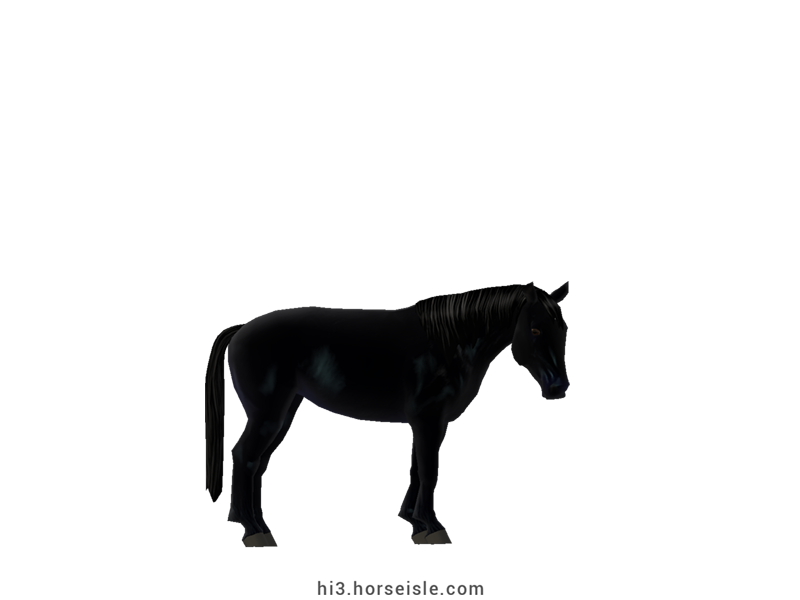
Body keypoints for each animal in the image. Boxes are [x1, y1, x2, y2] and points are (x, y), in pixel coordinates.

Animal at [206, 282, 569, 545]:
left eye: (560, 327)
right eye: (535, 330)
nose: (558, 385)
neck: (445, 344)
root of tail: (241, 330)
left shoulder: (425, 421)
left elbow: (417, 470)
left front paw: (416, 524)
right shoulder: (429, 418)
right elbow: (430, 471)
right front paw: (435, 527)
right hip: (267, 414)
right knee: (246, 458)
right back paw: (254, 531)